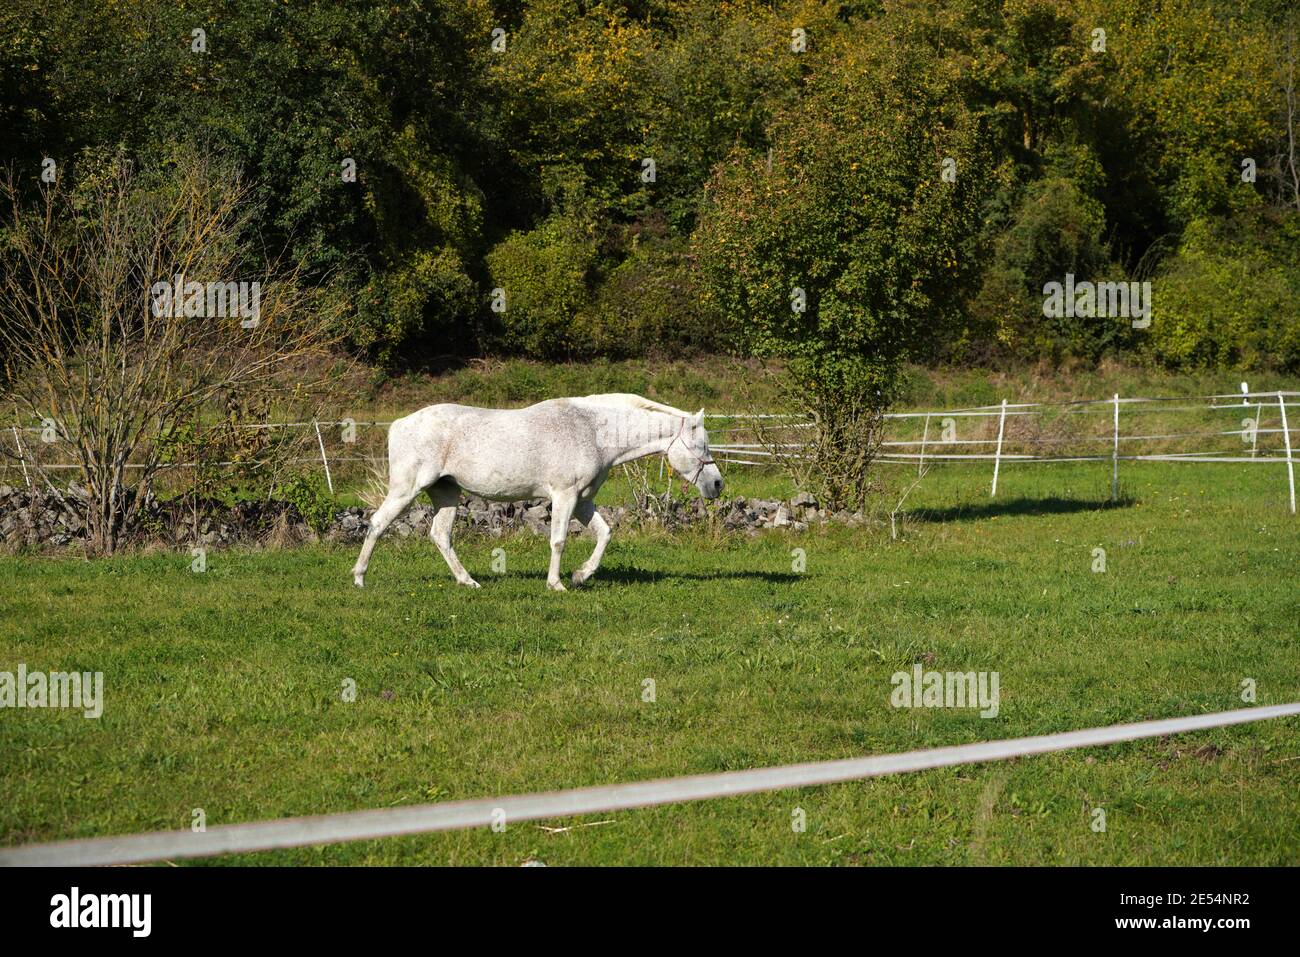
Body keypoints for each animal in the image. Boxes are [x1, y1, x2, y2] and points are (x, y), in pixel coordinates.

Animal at [351, 394, 724, 591]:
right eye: (700, 444)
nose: (718, 484)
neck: (591, 431)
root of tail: (399, 424)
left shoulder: (583, 501)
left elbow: (605, 533)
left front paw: (580, 575)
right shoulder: (564, 496)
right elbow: (558, 539)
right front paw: (556, 583)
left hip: (446, 493)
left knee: (441, 536)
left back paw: (468, 582)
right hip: (406, 490)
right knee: (378, 524)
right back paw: (359, 578)